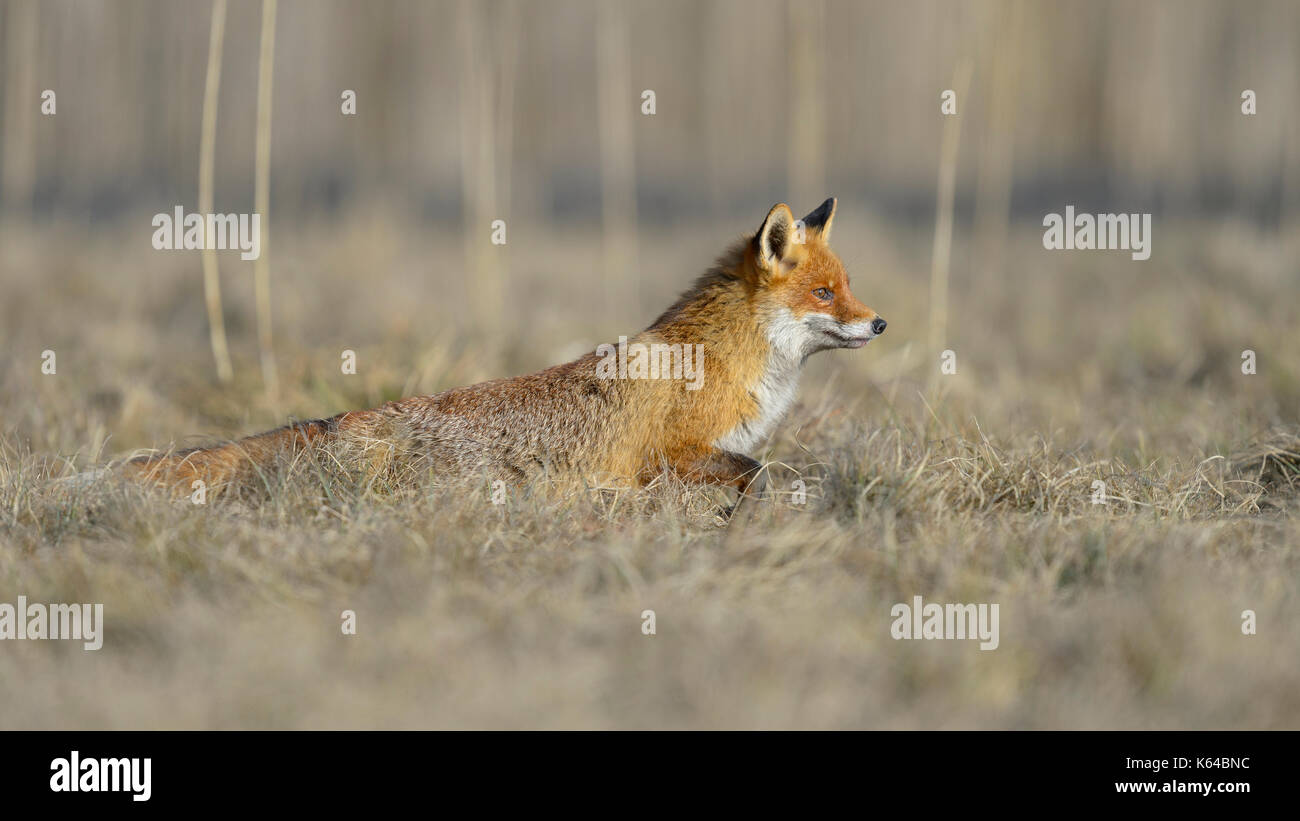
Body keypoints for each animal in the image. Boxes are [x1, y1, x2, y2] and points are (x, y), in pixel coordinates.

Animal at [116, 197, 886, 504]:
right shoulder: (666, 453)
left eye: (848, 287)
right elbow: (754, 472)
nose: (879, 323)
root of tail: (348, 420)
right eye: (823, 293)